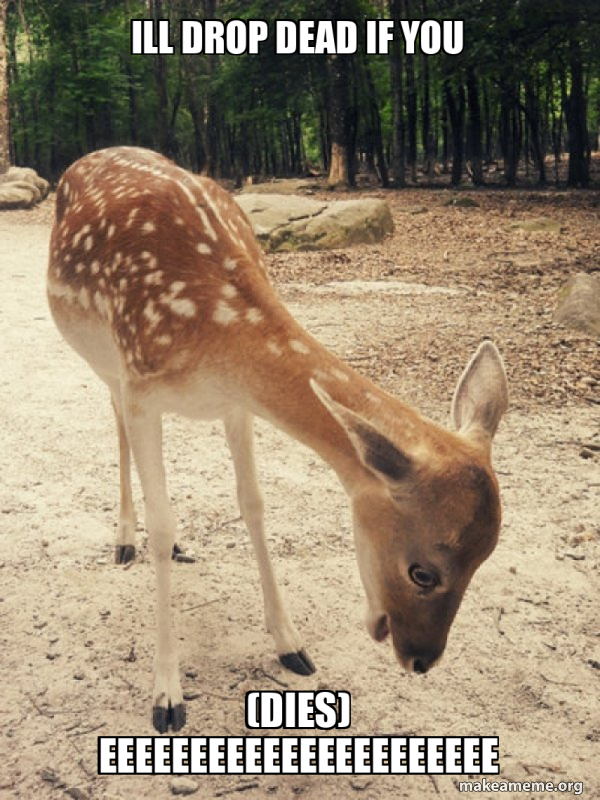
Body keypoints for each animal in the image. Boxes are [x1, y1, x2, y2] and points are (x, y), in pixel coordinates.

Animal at [47, 147, 508, 734]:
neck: (212, 333)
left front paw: (292, 645)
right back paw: (126, 539)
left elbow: (254, 504)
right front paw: (167, 695)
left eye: (485, 559)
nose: (421, 659)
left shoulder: (237, 404)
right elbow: (163, 517)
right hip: (104, 362)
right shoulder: (140, 388)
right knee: (116, 425)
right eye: (422, 571)